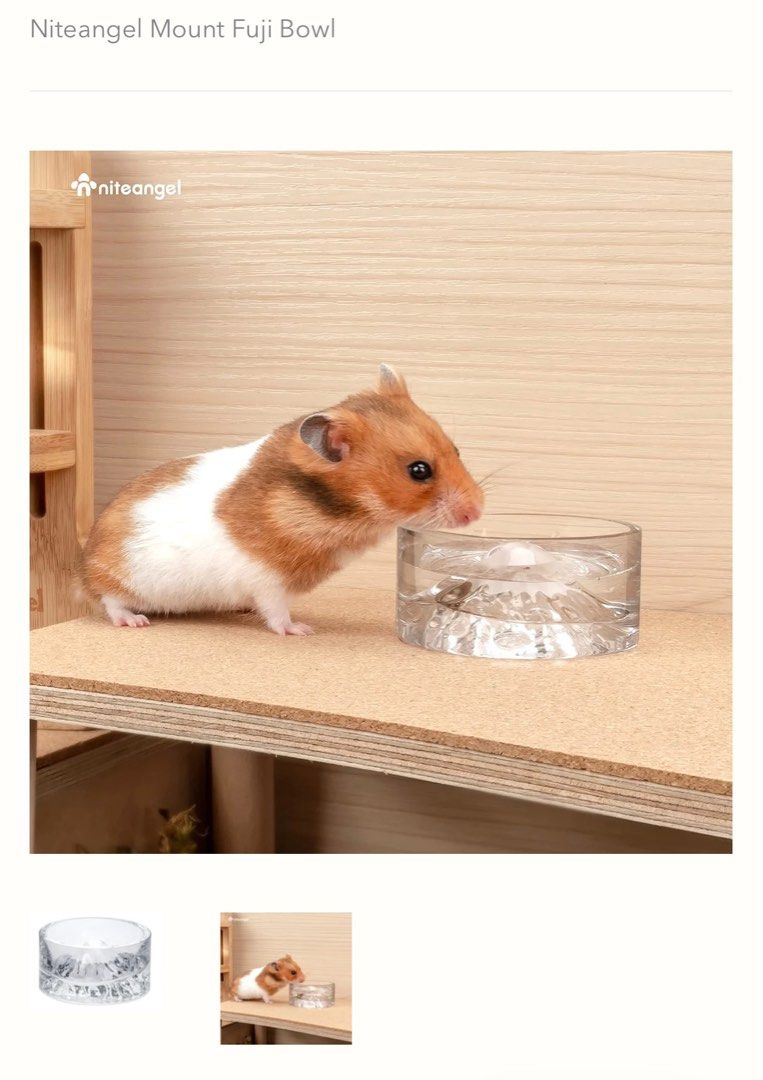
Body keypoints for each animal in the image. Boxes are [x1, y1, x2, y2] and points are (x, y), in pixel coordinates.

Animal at [81, 364, 484, 635]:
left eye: (456, 449)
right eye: (419, 470)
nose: (477, 513)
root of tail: (84, 562)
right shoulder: (267, 581)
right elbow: (276, 612)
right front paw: (302, 630)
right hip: (119, 578)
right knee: (110, 600)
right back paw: (134, 621)